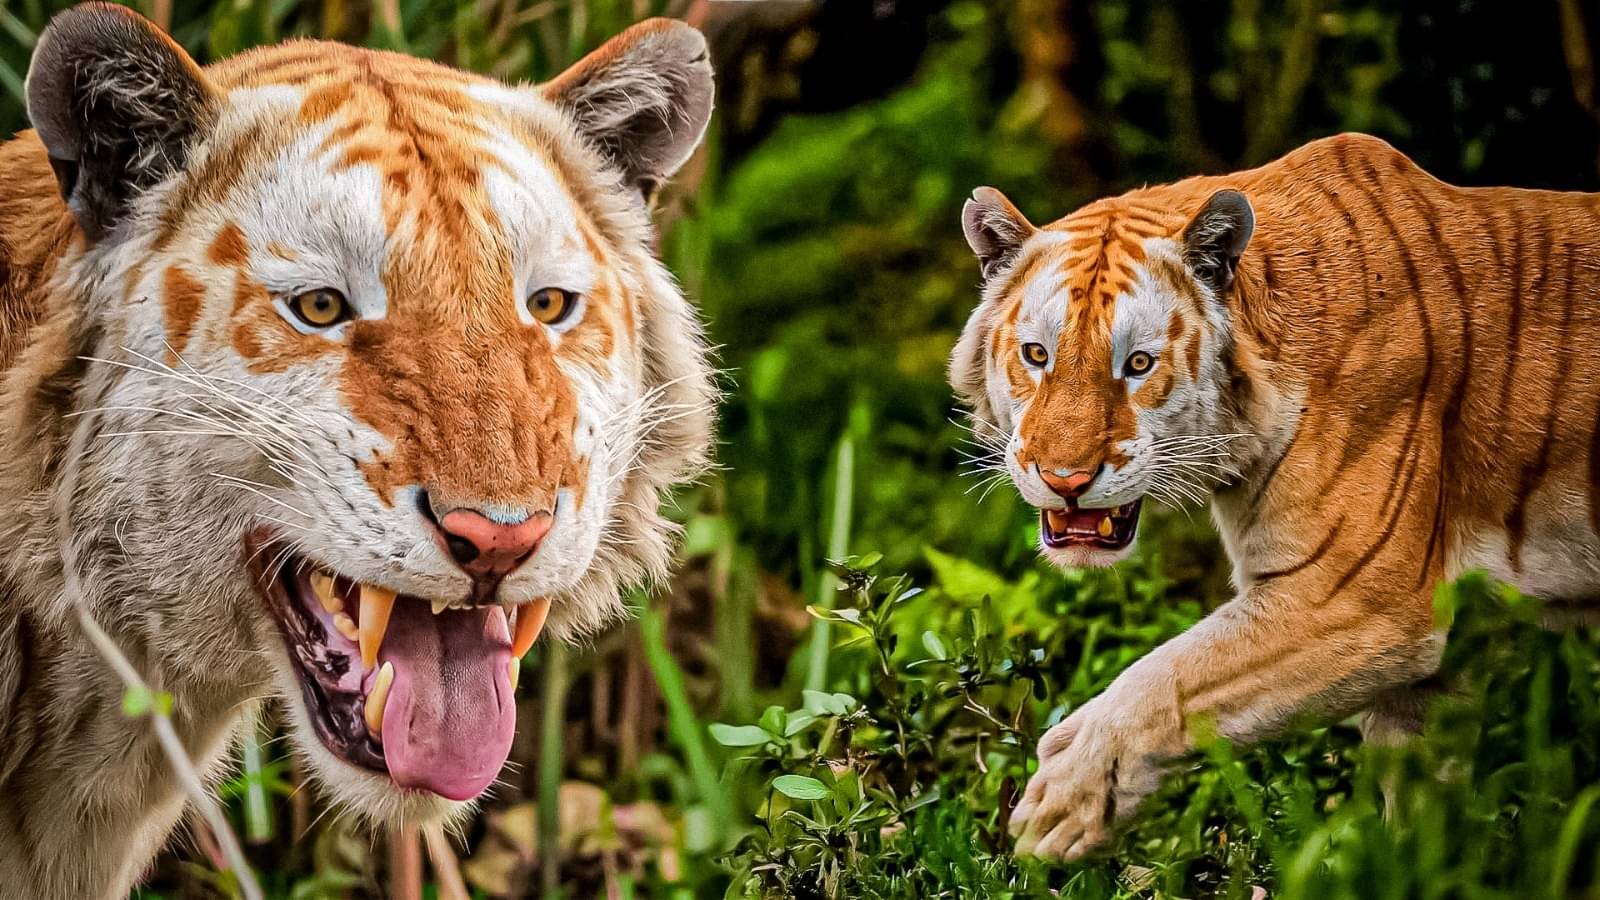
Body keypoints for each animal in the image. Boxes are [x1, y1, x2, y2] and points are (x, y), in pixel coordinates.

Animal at [950, 131, 1600, 860]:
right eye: (1037, 355)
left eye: (1138, 364)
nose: (1064, 477)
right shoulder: (1437, 657)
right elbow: (1419, 803)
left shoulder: (1359, 601)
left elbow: (1171, 677)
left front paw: (1064, 796)